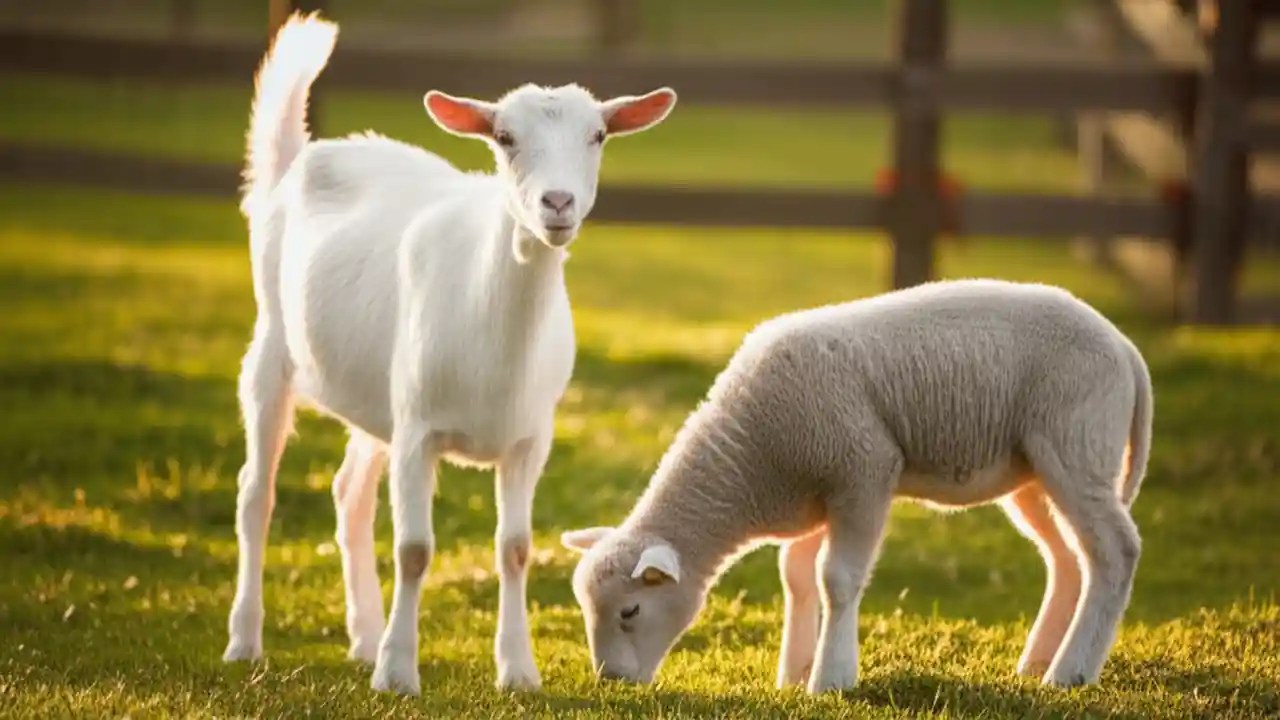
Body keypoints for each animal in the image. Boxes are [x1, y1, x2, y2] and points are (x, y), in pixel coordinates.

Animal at [221, 13, 677, 695]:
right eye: (505, 137)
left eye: (597, 135)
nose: (558, 204)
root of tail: (302, 158)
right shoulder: (419, 431)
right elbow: (413, 549)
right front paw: (398, 673)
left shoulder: (528, 439)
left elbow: (515, 547)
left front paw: (517, 669)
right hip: (273, 347)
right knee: (256, 494)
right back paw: (246, 641)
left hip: (377, 396)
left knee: (349, 494)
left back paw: (363, 638)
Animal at [562, 279, 1152, 694]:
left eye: (630, 611)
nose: (611, 683)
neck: (747, 465)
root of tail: (1124, 346)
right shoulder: (810, 495)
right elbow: (796, 578)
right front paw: (794, 673)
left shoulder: (863, 471)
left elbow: (837, 579)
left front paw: (831, 678)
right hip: (1034, 469)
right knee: (1068, 558)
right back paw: (1037, 663)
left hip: (1076, 445)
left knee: (1115, 551)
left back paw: (1071, 671)